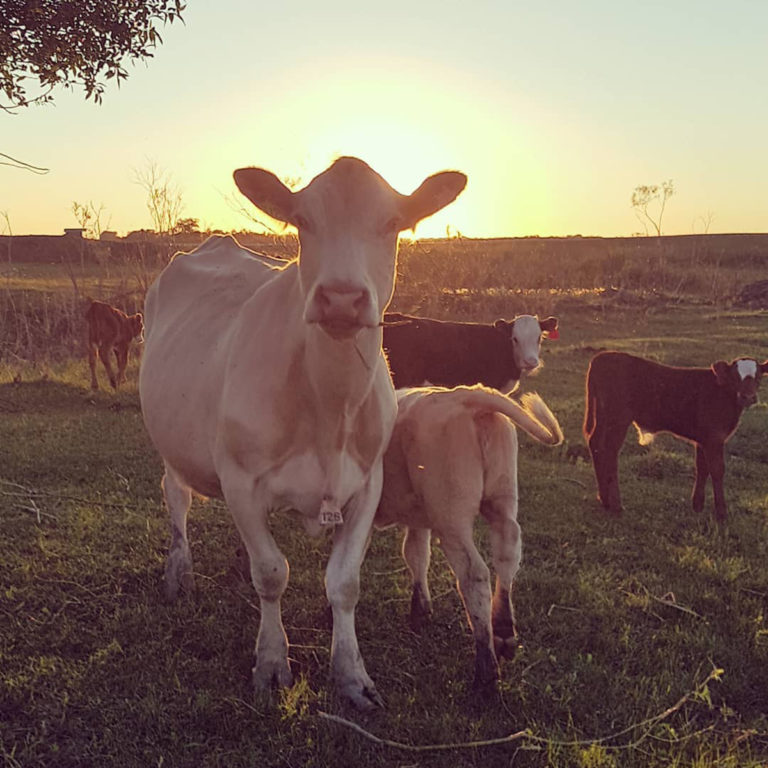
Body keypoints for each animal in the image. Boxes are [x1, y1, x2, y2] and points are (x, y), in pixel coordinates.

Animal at [139, 157, 467, 710]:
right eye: (302, 222)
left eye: (392, 223)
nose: (341, 298)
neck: (328, 408)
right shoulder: (241, 479)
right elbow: (272, 573)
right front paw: (272, 663)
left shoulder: (367, 483)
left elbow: (344, 583)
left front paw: (351, 674)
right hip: (170, 441)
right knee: (176, 498)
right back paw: (177, 572)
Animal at [375, 385, 563, 689]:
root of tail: (465, 395)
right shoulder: (418, 518)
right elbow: (416, 554)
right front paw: (420, 610)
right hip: (501, 500)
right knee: (507, 552)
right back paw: (503, 631)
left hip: (452, 517)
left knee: (474, 575)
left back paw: (486, 671)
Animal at [584, 351, 768, 521]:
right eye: (735, 377)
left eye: (758, 377)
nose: (748, 397)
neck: (722, 392)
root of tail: (601, 356)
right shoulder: (714, 438)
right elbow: (717, 470)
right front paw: (721, 512)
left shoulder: (703, 439)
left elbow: (702, 468)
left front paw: (697, 506)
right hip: (618, 419)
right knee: (610, 453)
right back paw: (616, 505)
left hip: (603, 416)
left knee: (596, 444)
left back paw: (604, 499)